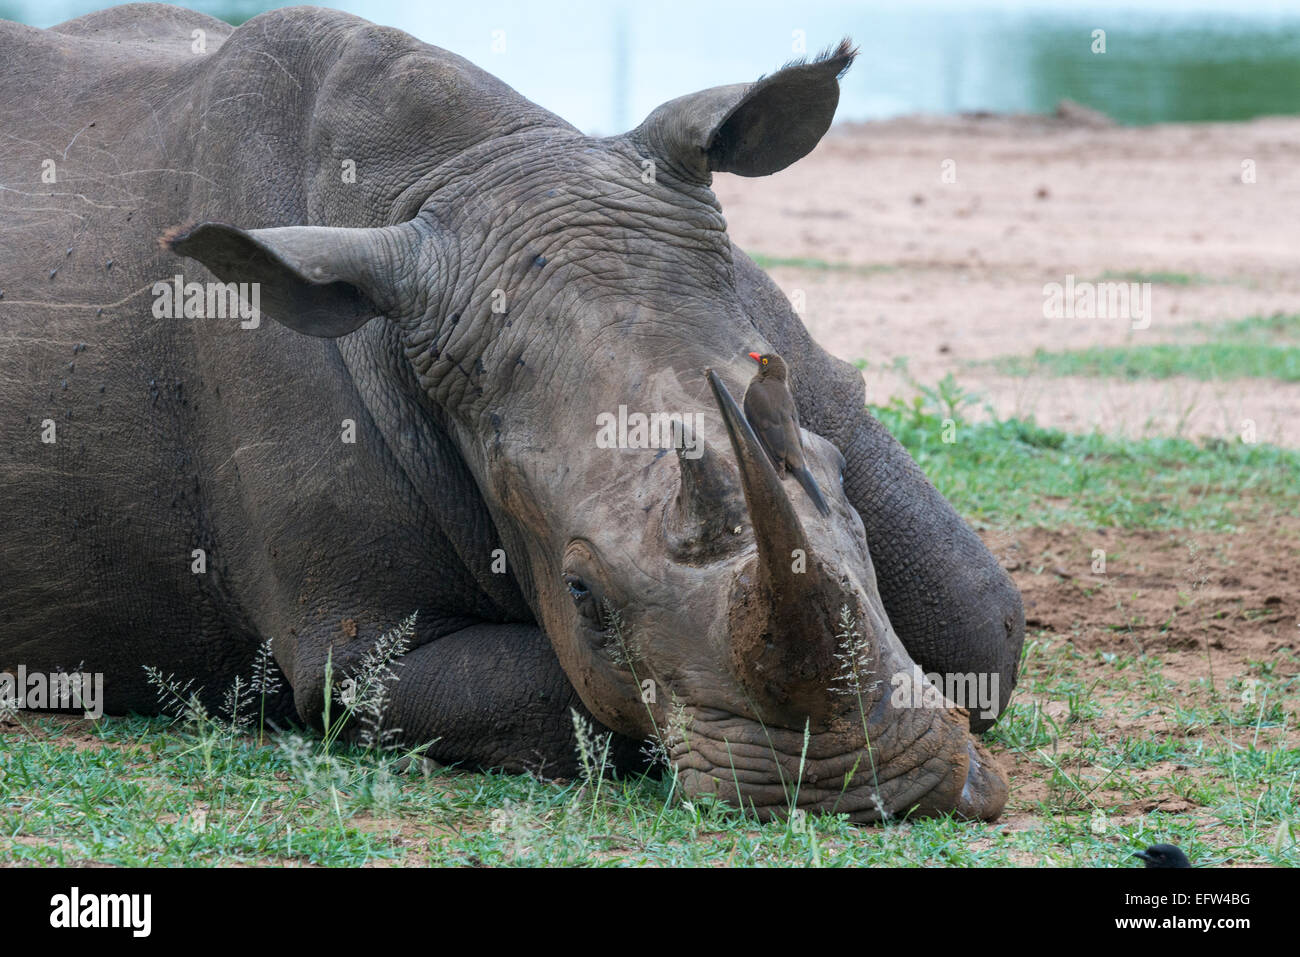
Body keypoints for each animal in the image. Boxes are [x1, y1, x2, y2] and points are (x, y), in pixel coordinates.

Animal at [0, 3, 1023, 822]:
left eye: (837, 475)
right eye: (581, 593)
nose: (870, 788)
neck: (472, 172)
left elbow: (984, 617)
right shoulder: (357, 642)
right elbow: (572, 702)